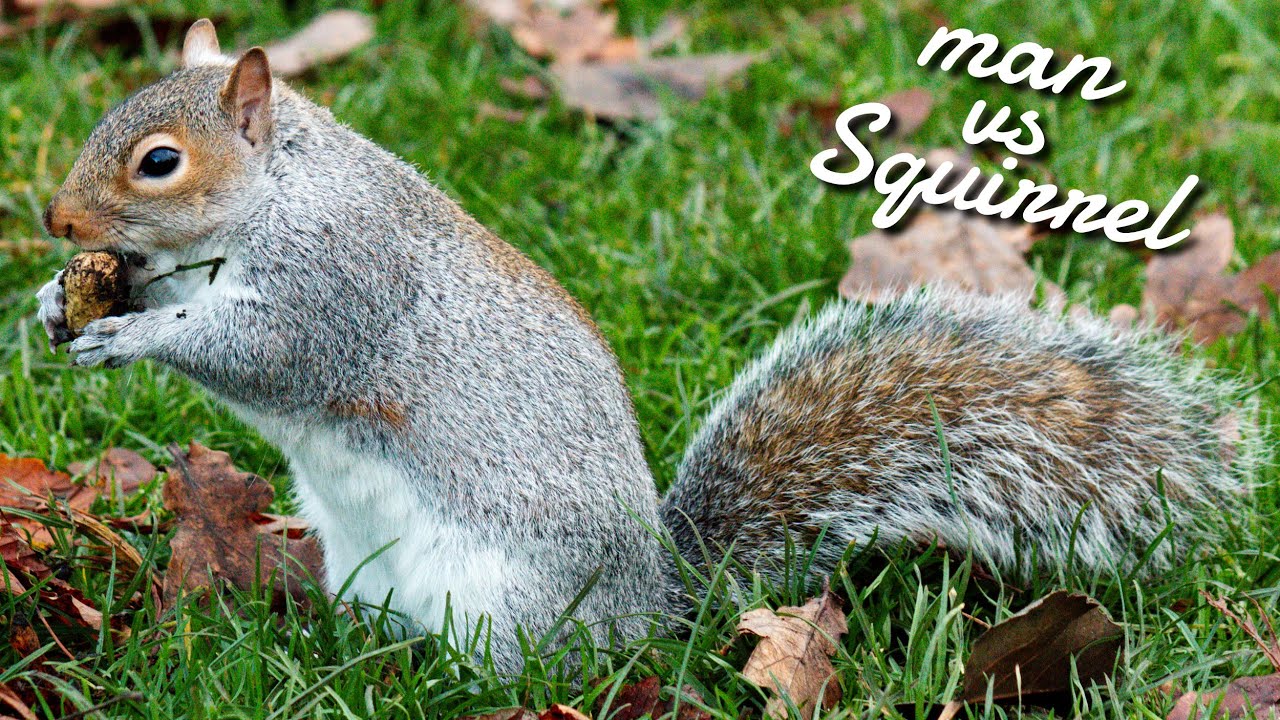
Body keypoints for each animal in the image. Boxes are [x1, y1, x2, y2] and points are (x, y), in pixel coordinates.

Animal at [34, 20, 1252, 675]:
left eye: (157, 161)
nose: (55, 222)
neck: (278, 193)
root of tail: (652, 607)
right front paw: (56, 304)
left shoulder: (339, 283)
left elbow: (265, 355)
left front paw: (129, 334)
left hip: (508, 601)